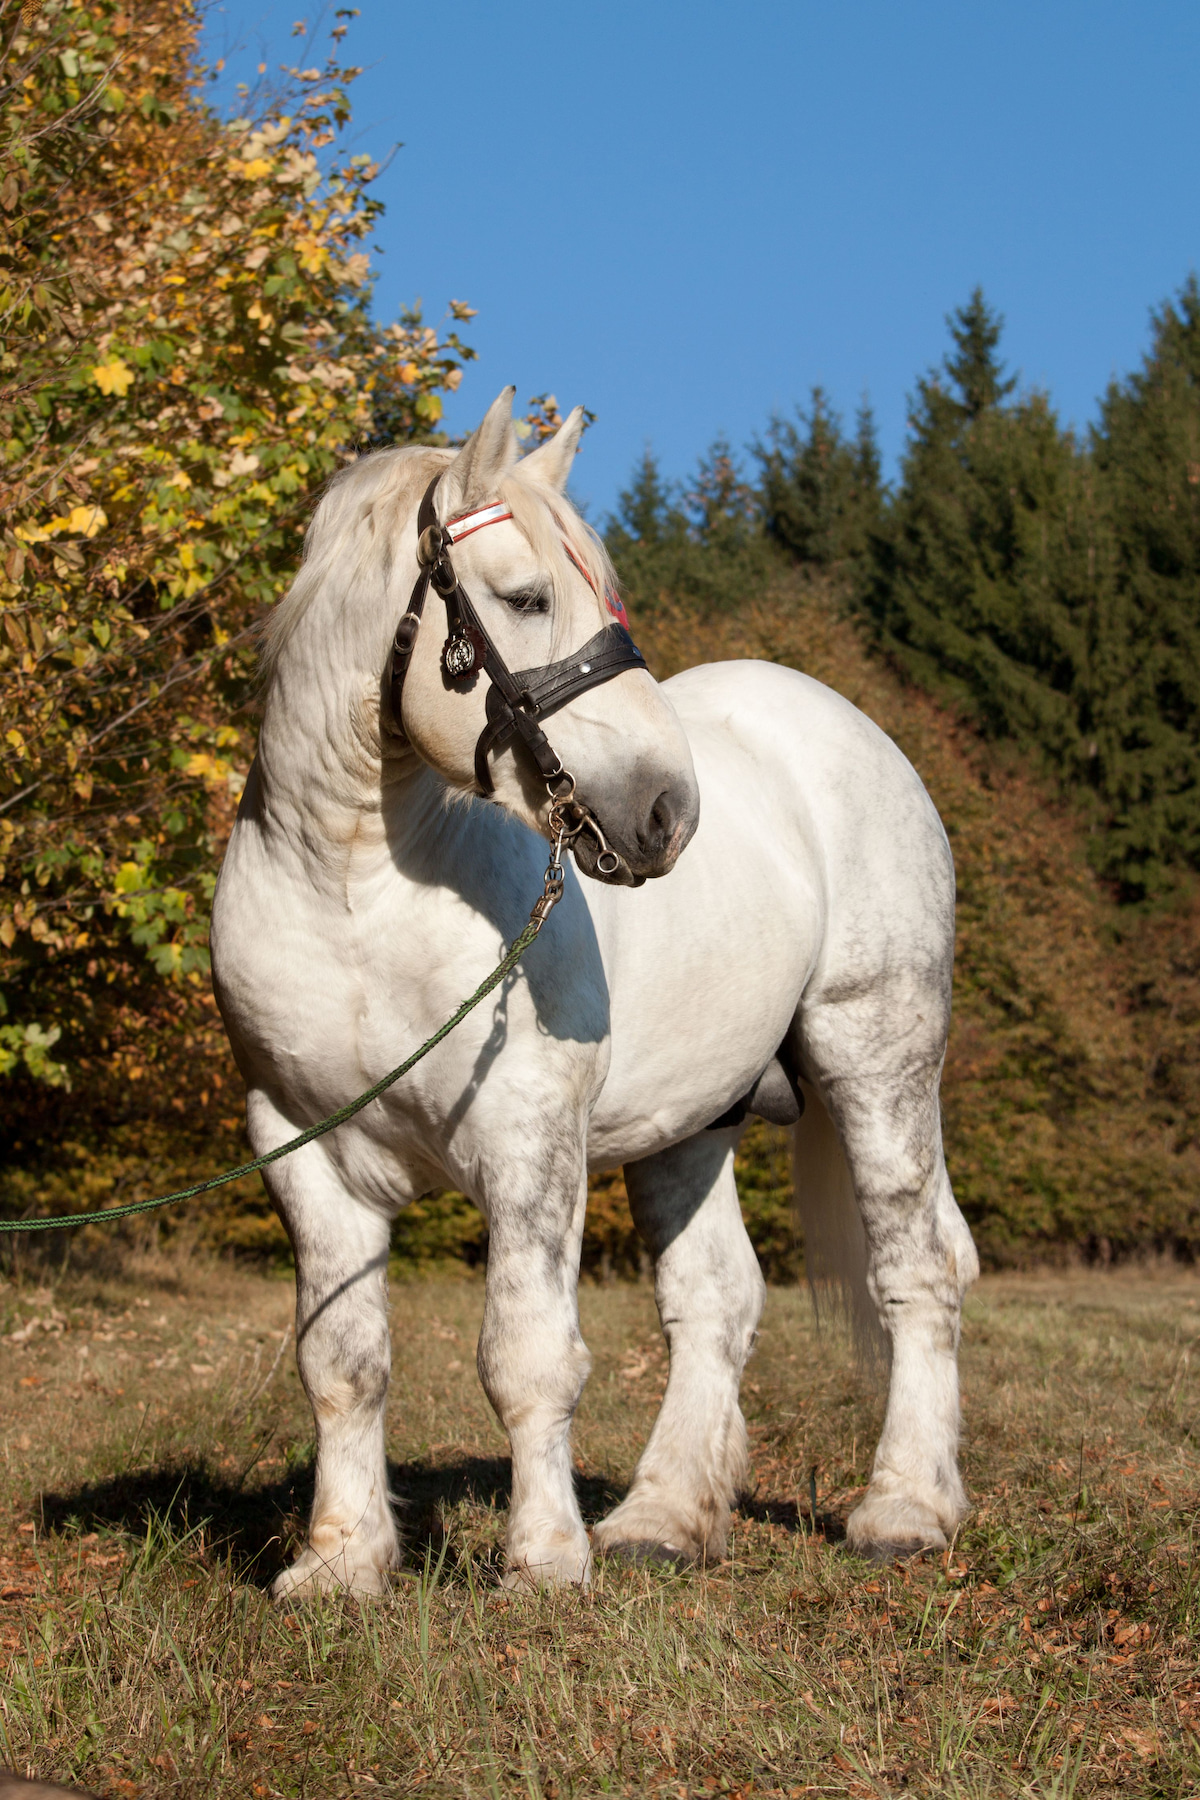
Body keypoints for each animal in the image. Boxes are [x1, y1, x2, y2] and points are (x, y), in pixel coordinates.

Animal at [210, 387, 979, 1596]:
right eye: (525, 598)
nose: (668, 812)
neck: (351, 894)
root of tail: (848, 726)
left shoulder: (528, 1144)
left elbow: (527, 1356)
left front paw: (543, 1562)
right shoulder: (303, 1150)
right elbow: (342, 1361)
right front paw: (338, 1566)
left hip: (878, 1060)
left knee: (919, 1265)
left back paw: (904, 1506)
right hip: (692, 1123)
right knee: (716, 1298)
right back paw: (663, 1519)